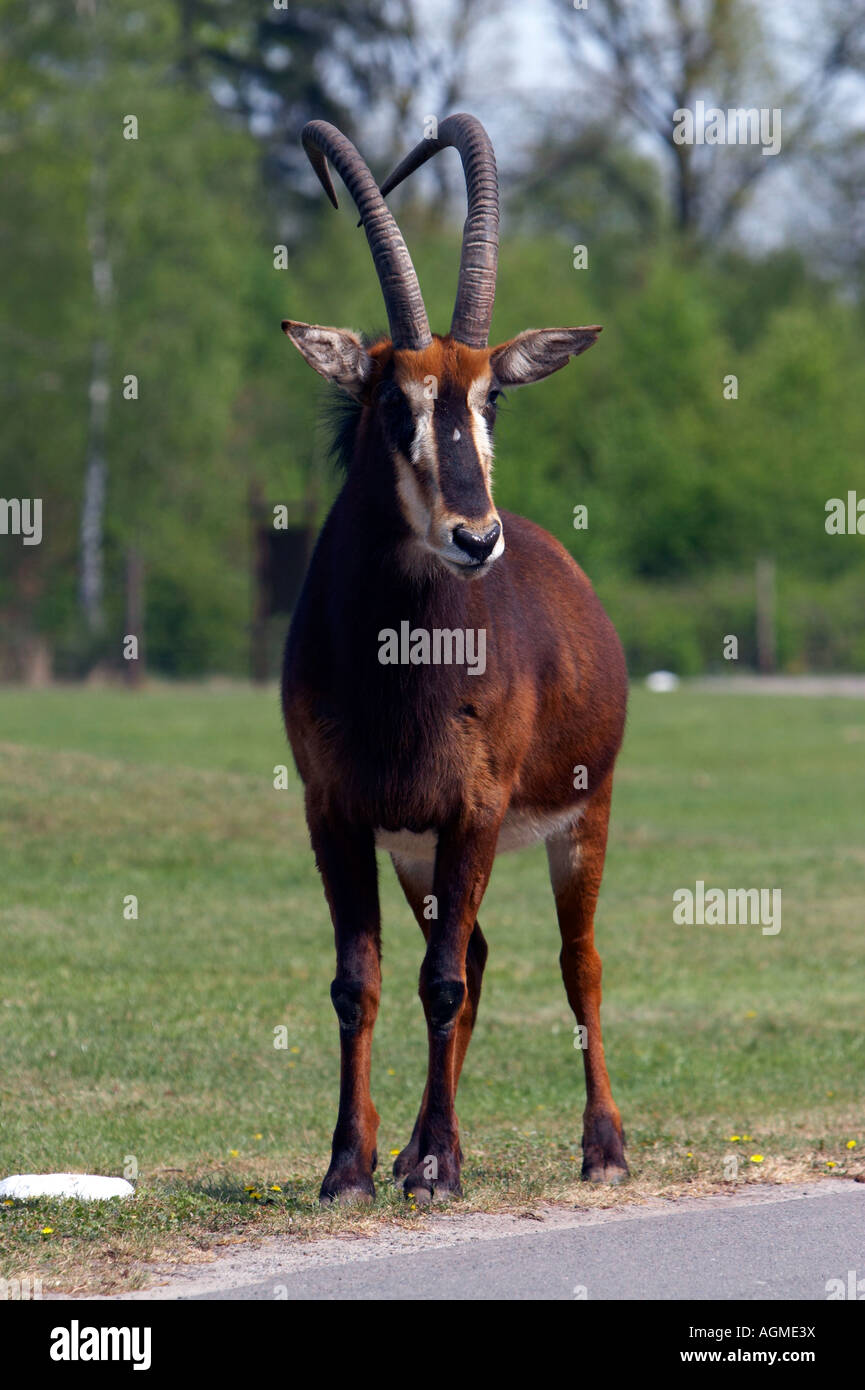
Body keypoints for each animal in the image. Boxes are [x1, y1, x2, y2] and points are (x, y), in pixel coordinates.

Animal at [281, 114, 629, 1204]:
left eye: (489, 402)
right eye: (396, 401)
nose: (475, 538)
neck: (401, 668)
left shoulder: (473, 809)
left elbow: (437, 981)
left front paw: (438, 1164)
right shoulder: (340, 811)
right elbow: (360, 980)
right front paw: (352, 1164)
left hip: (579, 817)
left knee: (575, 961)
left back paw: (602, 1146)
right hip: (417, 853)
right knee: (470, 952)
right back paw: (405, 1150)